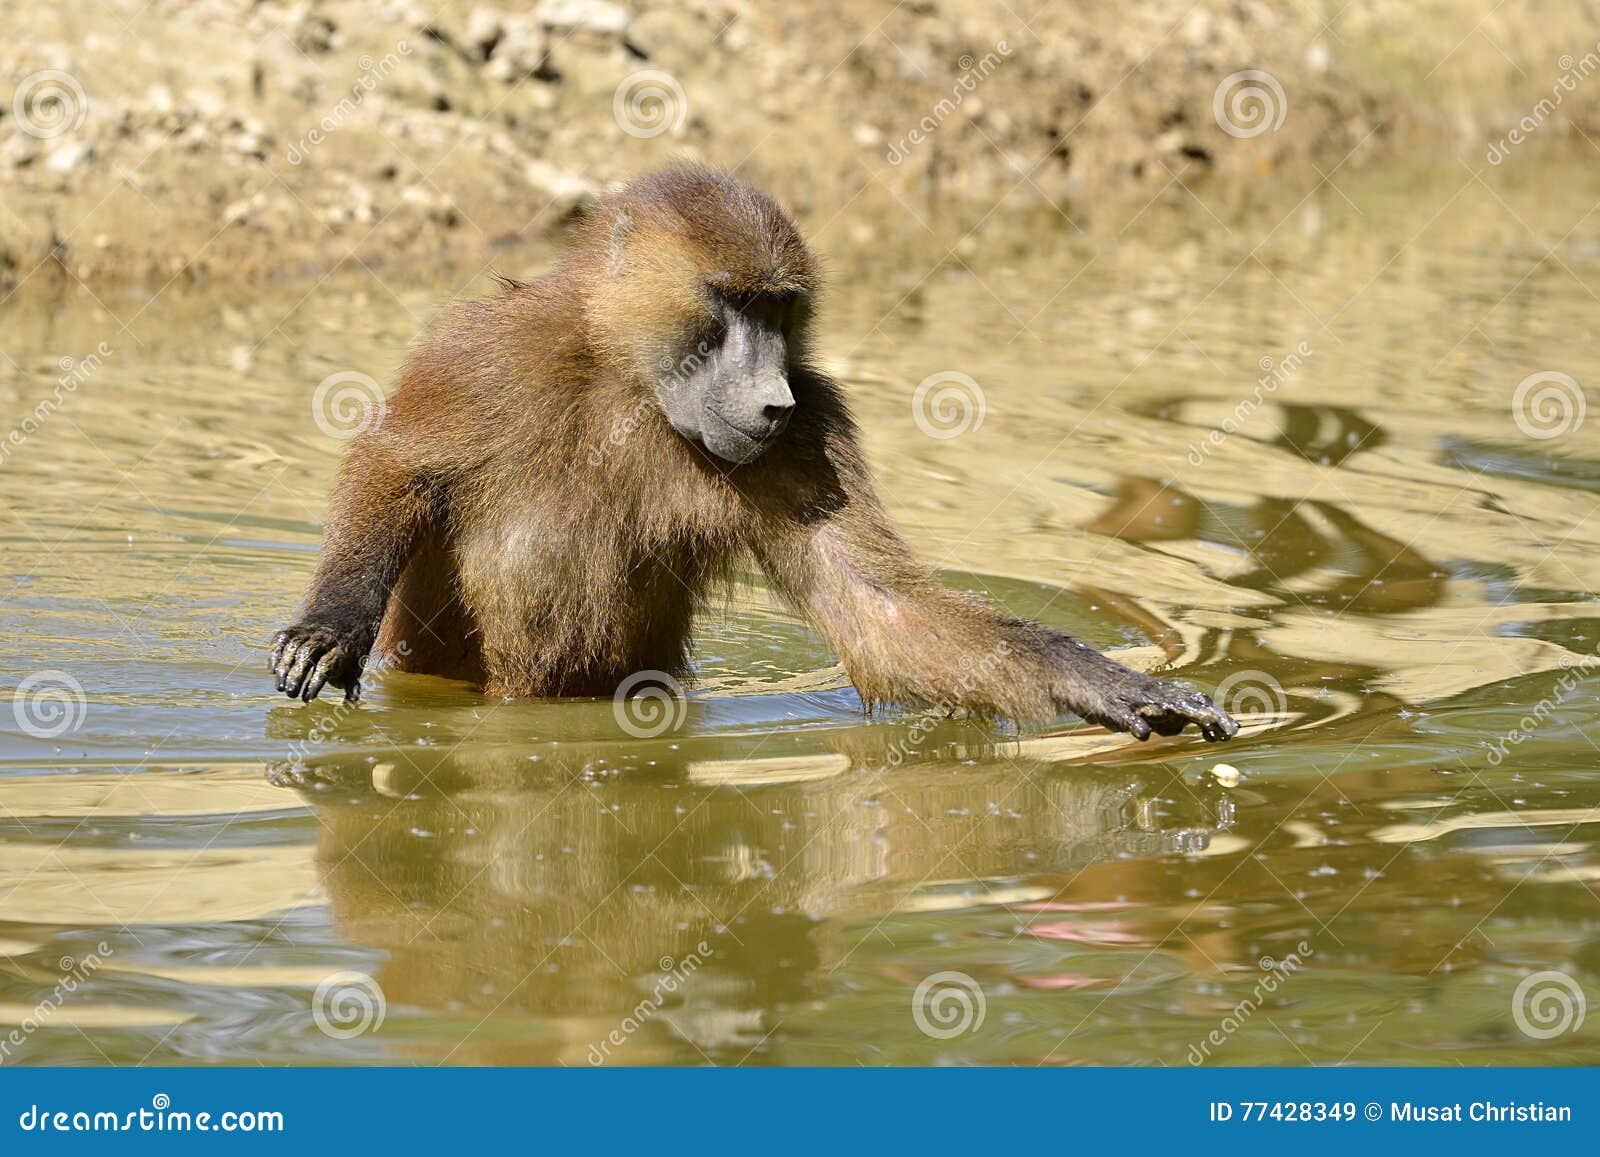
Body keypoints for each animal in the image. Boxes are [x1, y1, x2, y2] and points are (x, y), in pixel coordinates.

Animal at [270, 165, 1238, 743]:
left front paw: (1105, 680)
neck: (628, 381)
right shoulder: (482, 354)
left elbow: (884, 609)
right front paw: (333, 623)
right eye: (732, 302)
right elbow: (396, 462)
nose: (773, 398)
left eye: (782, 311)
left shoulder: (813, 436)